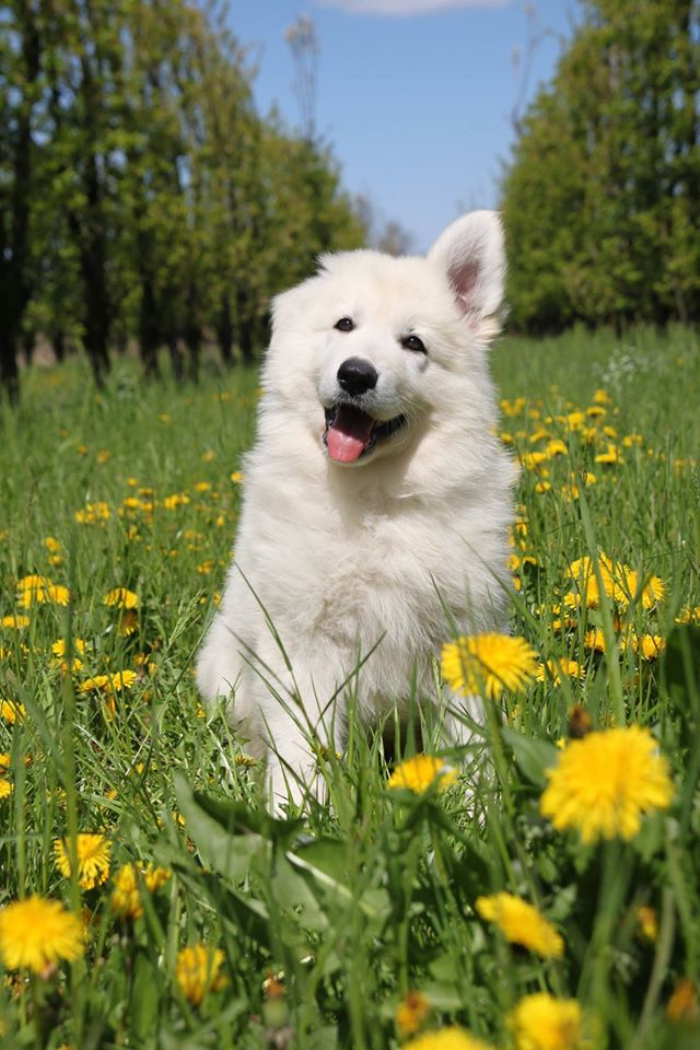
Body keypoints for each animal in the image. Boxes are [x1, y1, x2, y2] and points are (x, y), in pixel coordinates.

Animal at [197, 208, 514, 806]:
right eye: (344, 325)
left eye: (414, 343)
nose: (356, 374)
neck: (374, 501)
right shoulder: (302, 640)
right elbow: (302, 744)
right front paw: (296, 812)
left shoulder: (458, 628)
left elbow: (467, 734)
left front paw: (477, 808)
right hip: (227, 661)